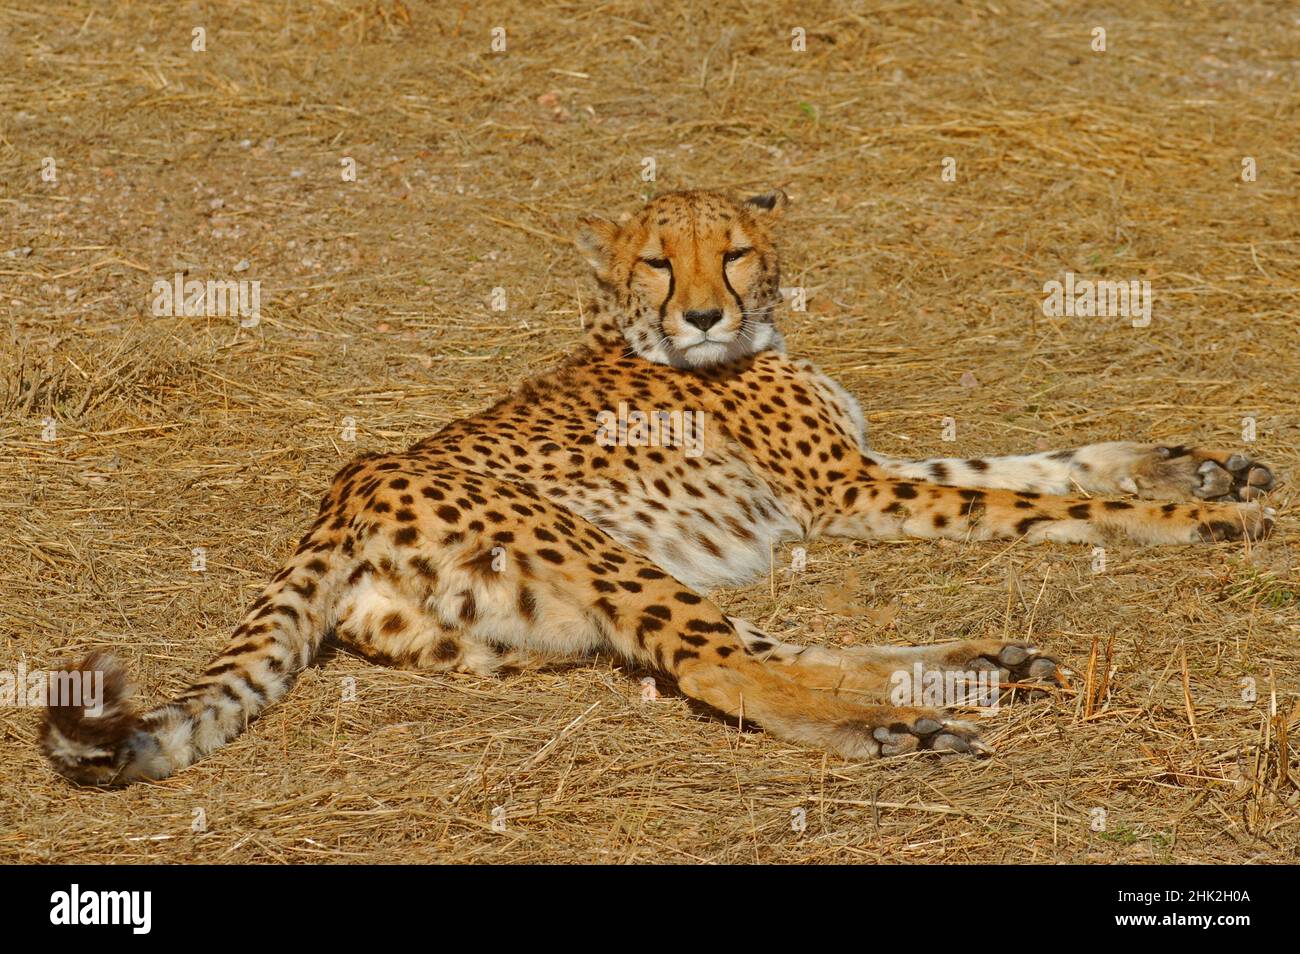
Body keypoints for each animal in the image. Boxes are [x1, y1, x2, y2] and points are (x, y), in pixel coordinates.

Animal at [43, 188, 1277, 785]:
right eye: (656, 259)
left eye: (732, 251)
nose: (703, 313)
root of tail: (346, 486)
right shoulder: (854, 495)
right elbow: (1050, 503)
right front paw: (1204, 512)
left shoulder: (869, 474)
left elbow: (1033, 463)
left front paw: (1195, 463)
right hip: (593, 547)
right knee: (723, 664)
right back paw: (903, 732)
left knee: (767, 649)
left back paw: (977, 670)